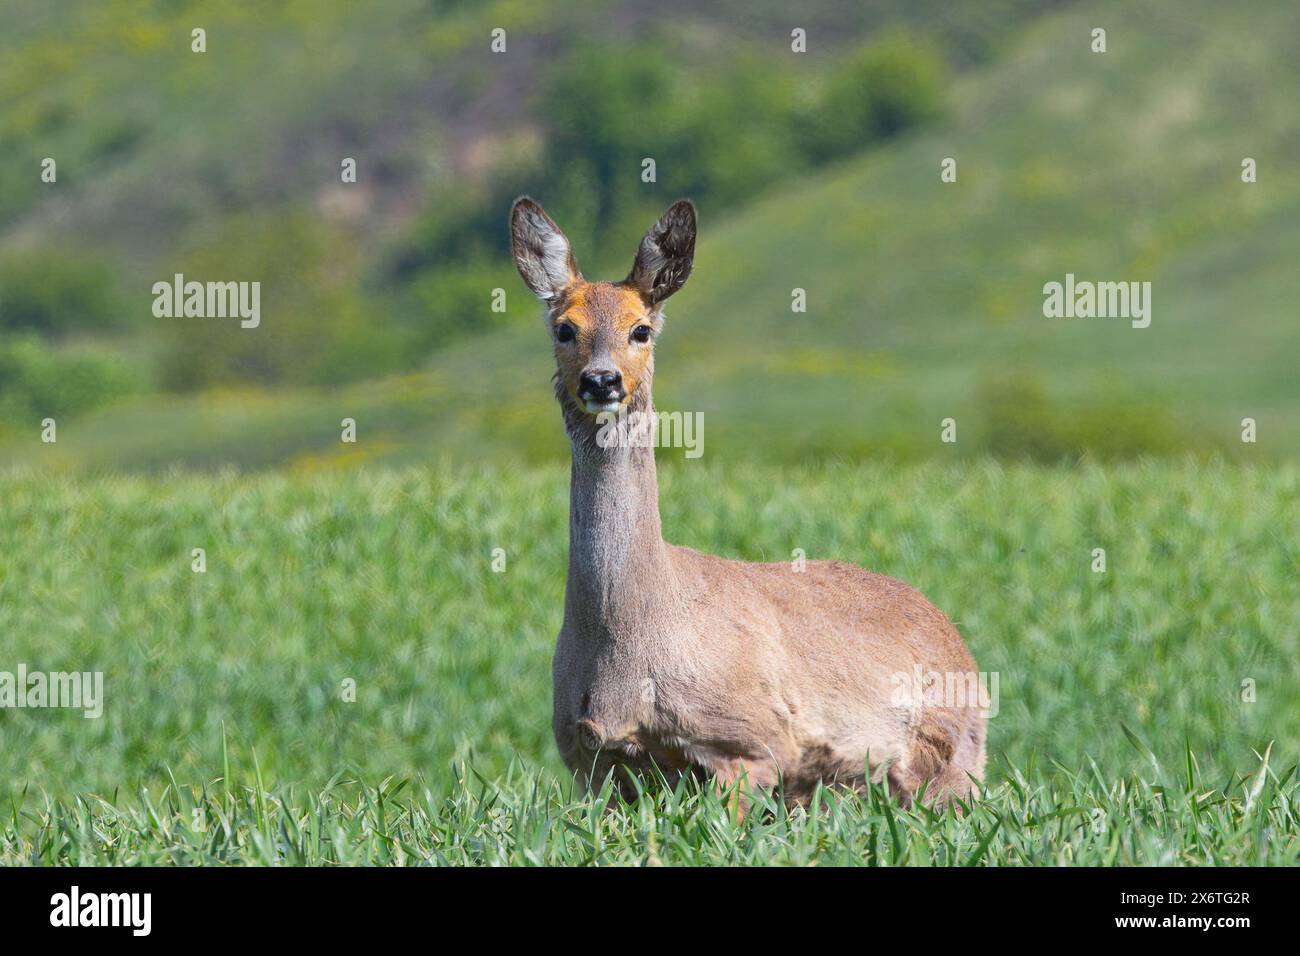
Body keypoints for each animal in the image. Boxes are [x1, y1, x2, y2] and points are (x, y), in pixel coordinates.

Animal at [510, 196, 986, 810]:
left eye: (641, 329)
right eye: (565, 329)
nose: (602, 380)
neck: (631, 645)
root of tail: (961, 648)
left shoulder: (750, 740)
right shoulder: (593, 763)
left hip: (949, 762)